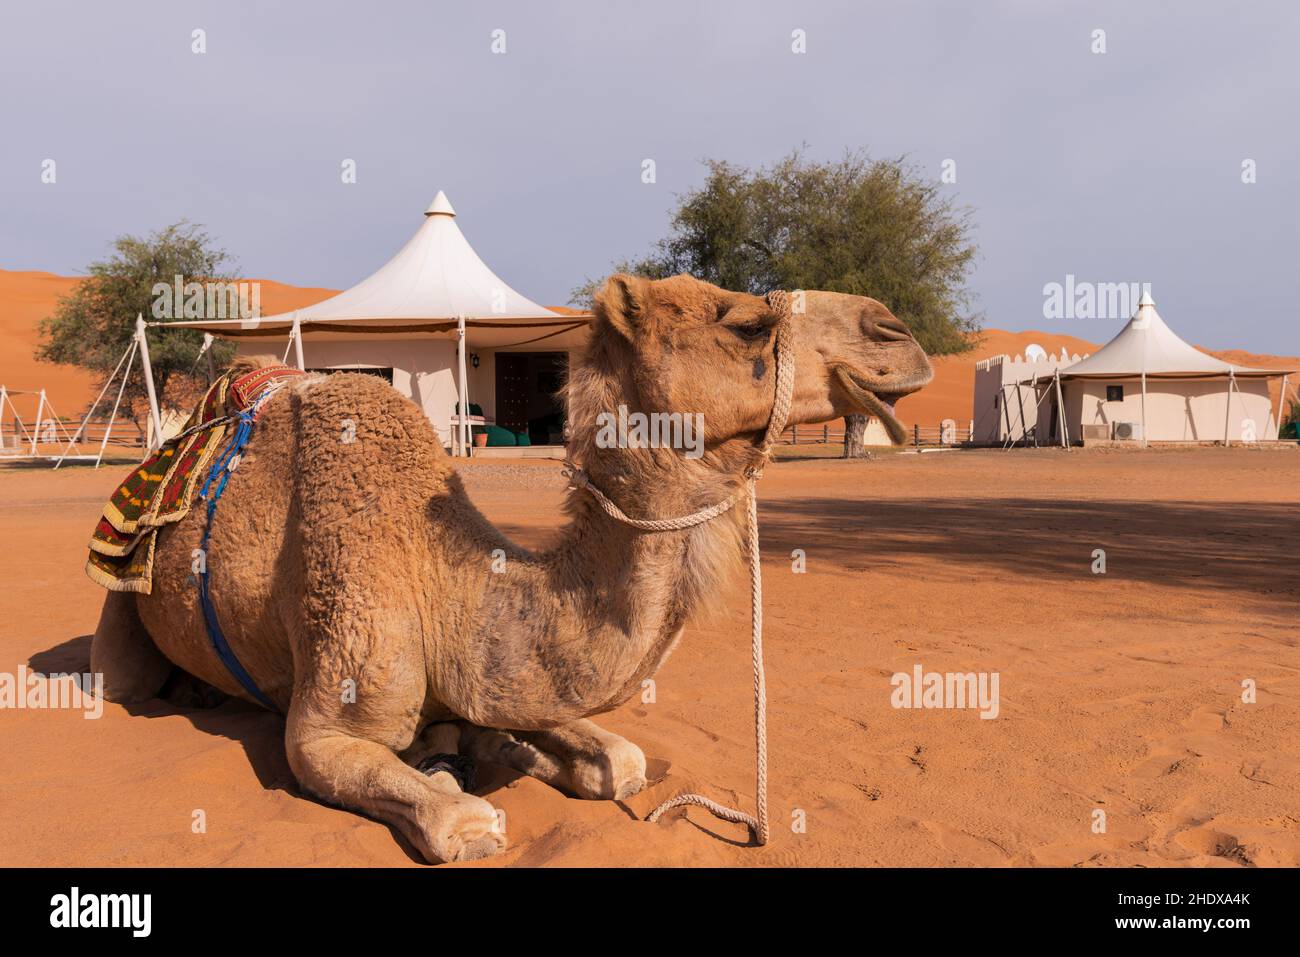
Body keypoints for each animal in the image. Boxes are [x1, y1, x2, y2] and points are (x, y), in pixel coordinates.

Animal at [90, 274, 933, 863]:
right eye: (744, 321)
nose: (898, 332)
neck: (443, 582)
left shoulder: (500, 675)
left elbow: (621, 761)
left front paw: (514, 748)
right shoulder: (325, 726)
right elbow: (459, 817)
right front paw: (466, 778)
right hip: (119, 621)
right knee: (120, 680)